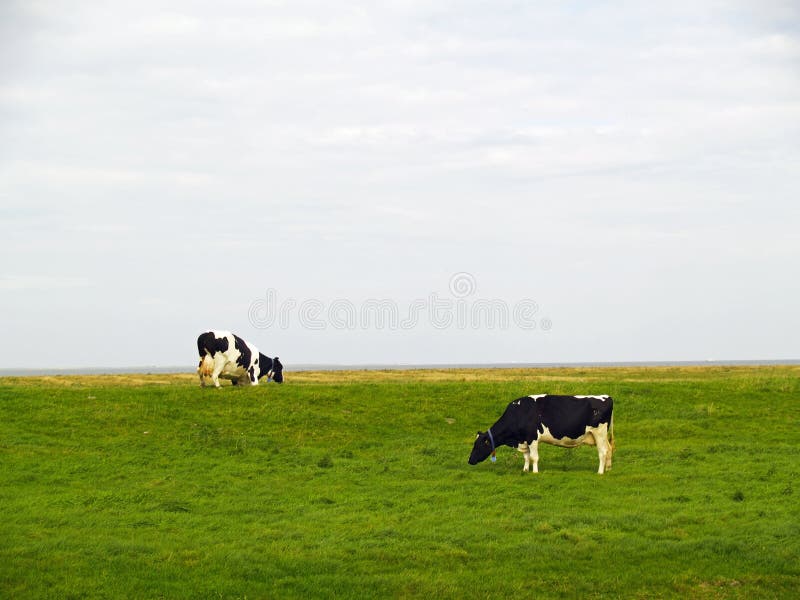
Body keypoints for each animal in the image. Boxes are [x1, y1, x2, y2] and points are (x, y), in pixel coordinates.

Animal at [468, 394, 614, 474]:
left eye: (478, 445)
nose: (469, 461)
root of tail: (606, 397)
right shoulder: (524, 440)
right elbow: (526, 457)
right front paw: (525, 470)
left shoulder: (532, 438)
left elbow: (534, 457)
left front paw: (535, 472)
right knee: (609, 449)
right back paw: (608, 469)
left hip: (599, 433)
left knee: (602, 452)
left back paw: (600, 472)